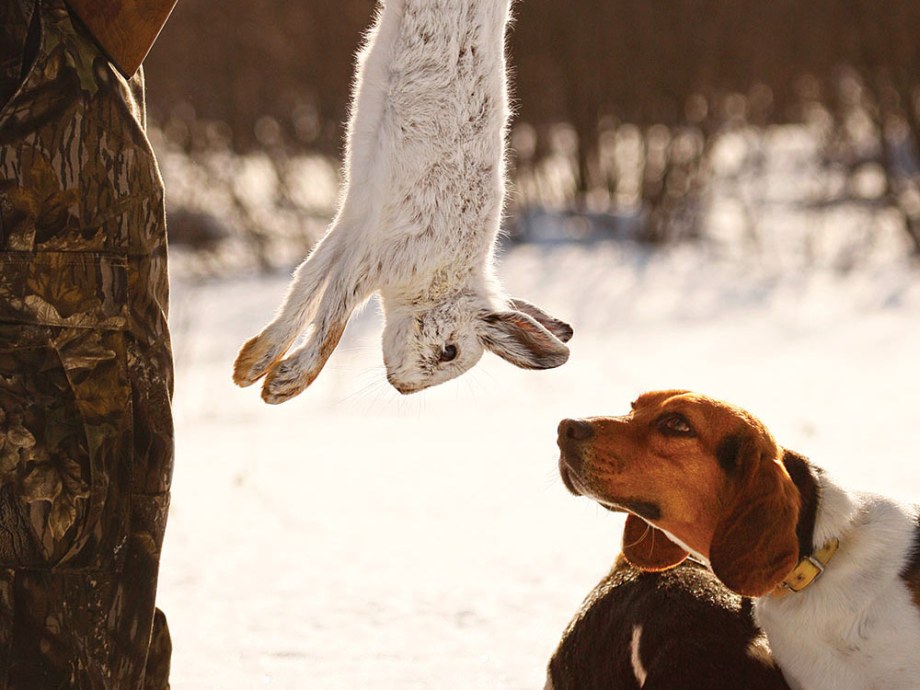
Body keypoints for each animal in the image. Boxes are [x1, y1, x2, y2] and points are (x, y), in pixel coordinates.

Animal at [233, 0, 573, 404]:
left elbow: (305, 288)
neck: (444, 278)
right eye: (449, 352)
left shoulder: (353, 227)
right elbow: (333, 323)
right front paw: (284, 386)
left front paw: (252, 365)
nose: (403, 387)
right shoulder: (374, 262)